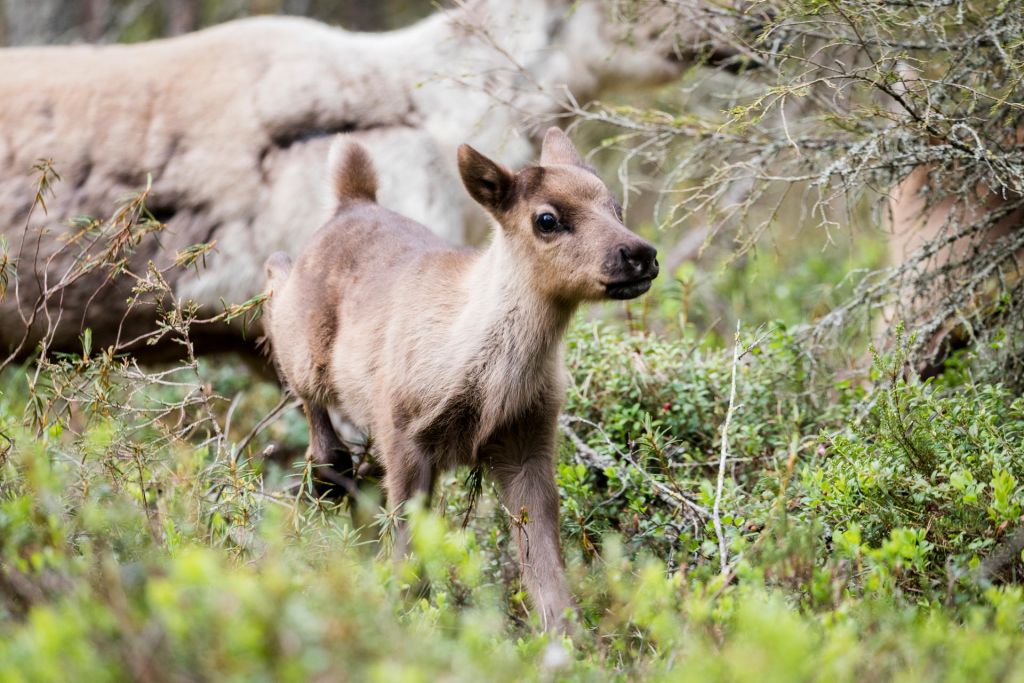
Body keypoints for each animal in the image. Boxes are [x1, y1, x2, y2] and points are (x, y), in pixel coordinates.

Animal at [262, 127, 659, 631]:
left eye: (616, 206)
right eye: (547, 219)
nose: (641, 254)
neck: (484, 381)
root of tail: (352, 198)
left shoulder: (527, 441)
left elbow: (542, 555)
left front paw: (567, 635)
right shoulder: (402, 434)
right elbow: (407, 539)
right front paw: (400, 612)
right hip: (304, 344)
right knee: (277, 279)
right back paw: (330, 473)